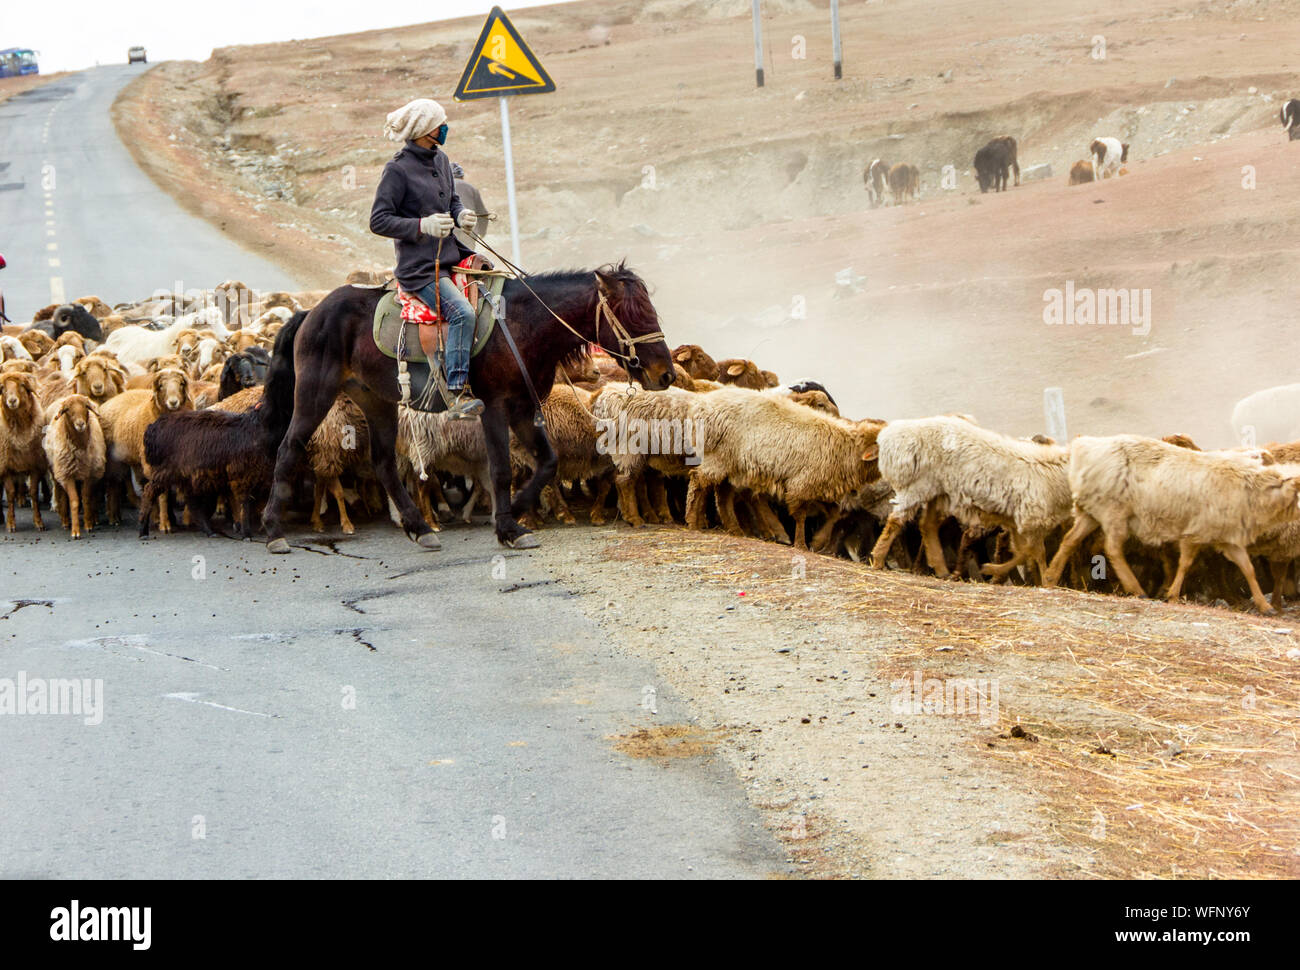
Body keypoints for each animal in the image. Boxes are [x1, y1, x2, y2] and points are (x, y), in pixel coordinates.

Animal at [0, 371, 47, 532]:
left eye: (21, 385)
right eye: (2, 387)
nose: (12, 401)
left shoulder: (35, 465)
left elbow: (33, 492)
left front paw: (38, 522)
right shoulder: (6, 467)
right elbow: (10, 494)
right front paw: (10, 523)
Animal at [41, 395, 106, 539]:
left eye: (86, 407)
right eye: (67, 410)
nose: (80, 424)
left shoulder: (89, 475)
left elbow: (85, 498)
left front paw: (88, 524)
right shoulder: (67, 475)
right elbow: (75, 501)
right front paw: (75, 531)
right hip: (57, 470)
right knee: (61, 494)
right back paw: (65, 520)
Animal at [685, 387, 885, 548]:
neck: (845, 448)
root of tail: (699, 407)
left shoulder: (817, 486)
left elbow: (835, 514)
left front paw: (817, 541)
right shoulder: (802, 483)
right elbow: (800, 516)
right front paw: (801, 544)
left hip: (731, 463)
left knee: (723, 494)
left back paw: (734, 529)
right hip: (720, 456)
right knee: (698, 479)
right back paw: (693, 521)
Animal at [868, 416, 1072, 581]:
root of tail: (888, 436)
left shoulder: (1018, 522)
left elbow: (1027, 552)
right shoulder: (1028, 519)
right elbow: (1034, 552)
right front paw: (1045, 579)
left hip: (938, 492)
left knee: (927, 525)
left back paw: (942, 570)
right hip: (917, 486)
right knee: (896, 520)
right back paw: (877, 559)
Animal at [1043, 435, 1300, 613]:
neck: (1250, 490)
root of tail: (1083, 448)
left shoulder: (1227, 538)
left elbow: (1248, 569)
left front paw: (1265, 606)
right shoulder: (1195, 531)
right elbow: (1185, 563)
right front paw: (1173, 594)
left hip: (1092, 510)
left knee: (1070, 540)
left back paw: (1050, 578)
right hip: (1114, 511)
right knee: (1112, 549)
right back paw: (1137, 590)